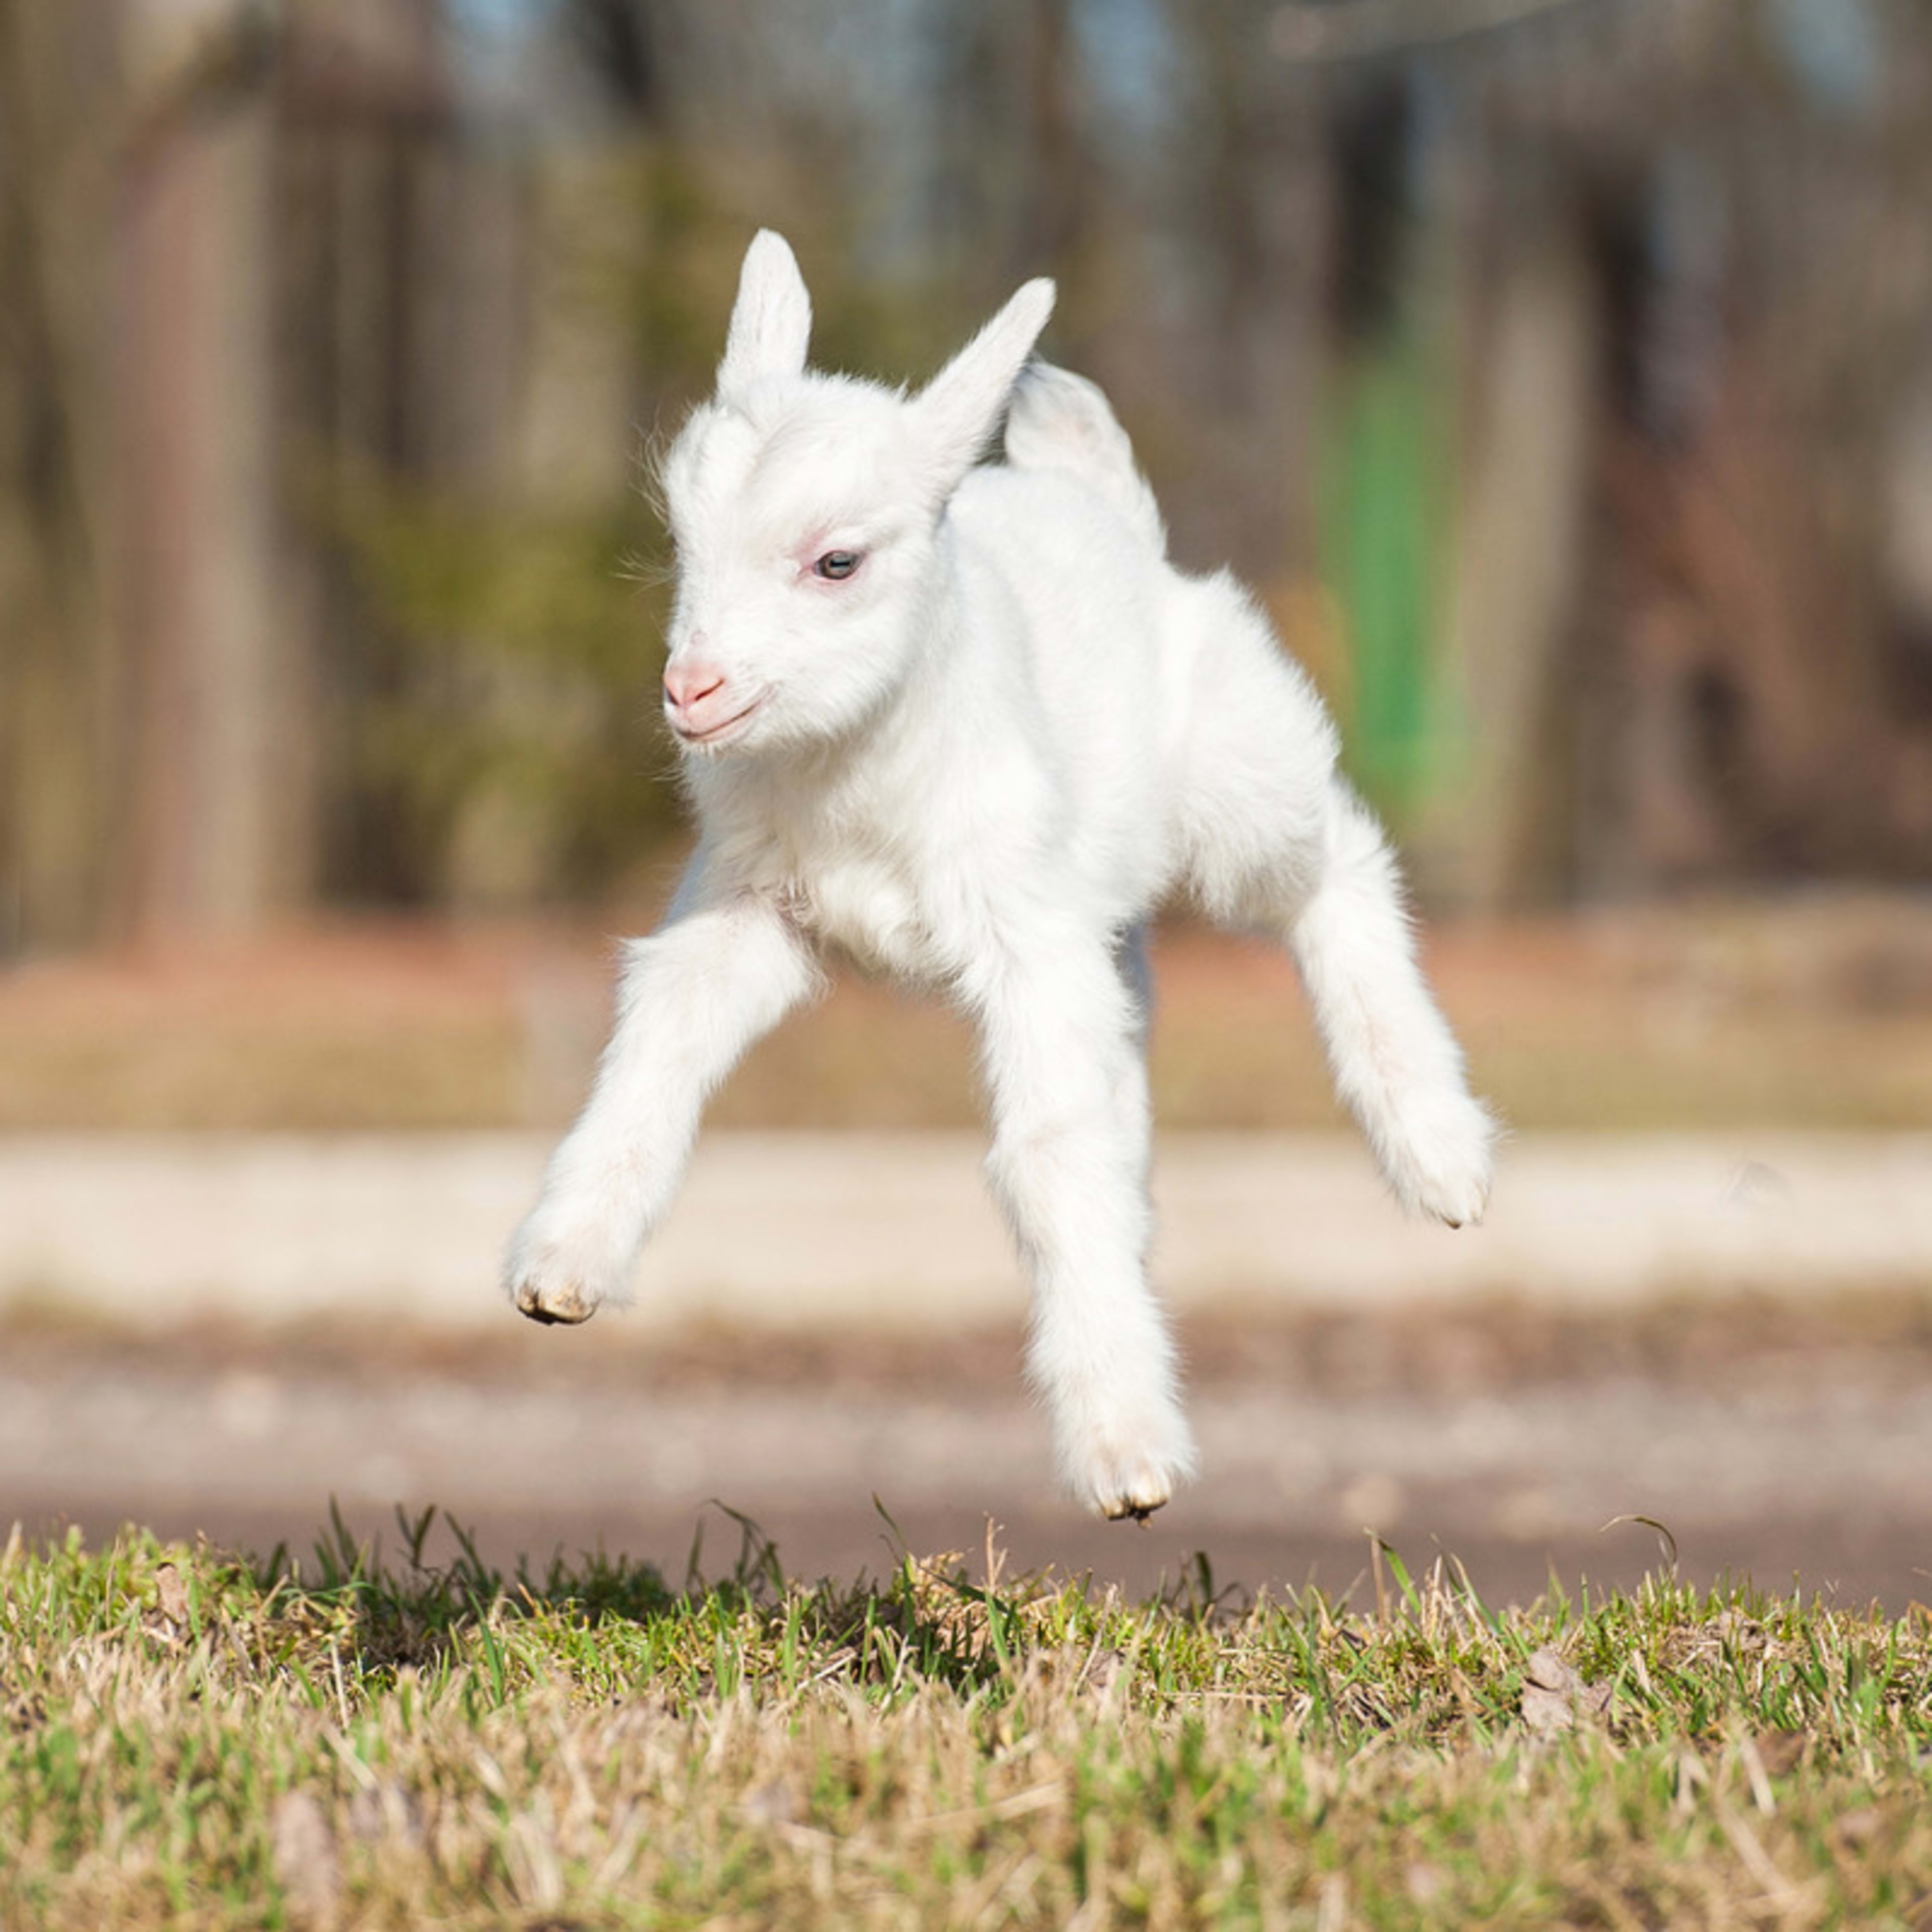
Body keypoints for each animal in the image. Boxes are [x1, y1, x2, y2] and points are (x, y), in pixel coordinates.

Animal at [505, 230, 1496, 1520]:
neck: (857, 779)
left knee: (1339, 861)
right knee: (1132, 1032)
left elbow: (1044, 1152)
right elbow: (654, 1053)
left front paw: (1126, 1457)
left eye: (836, 560)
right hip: (1102, 914)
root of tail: (1108, 511)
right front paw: (562, 1264)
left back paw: (1439, 1155)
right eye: (682, 542)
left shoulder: (1021, 942)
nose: (692, 690)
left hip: (1240, 788)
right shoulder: (745, 913)